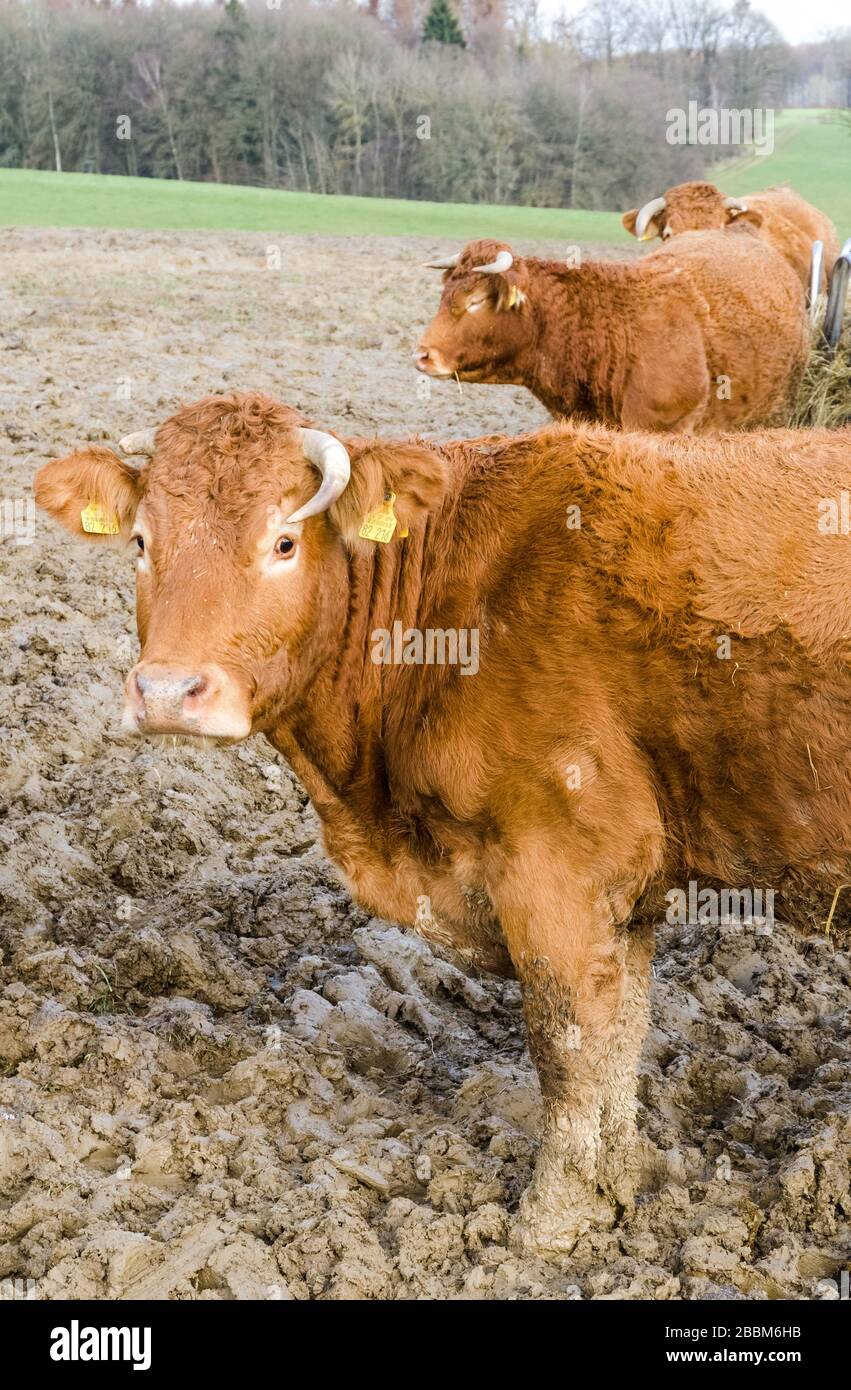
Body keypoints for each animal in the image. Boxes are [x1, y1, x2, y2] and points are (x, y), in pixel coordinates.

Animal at [34, 392, 851, 1254]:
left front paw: (552, 1220)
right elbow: (619, 1034)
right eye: (141, 542)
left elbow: (566, 1040)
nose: (166, 692)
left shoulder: (552, 863)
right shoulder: (626, 888)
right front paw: (616, 1186)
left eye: (283, 540)